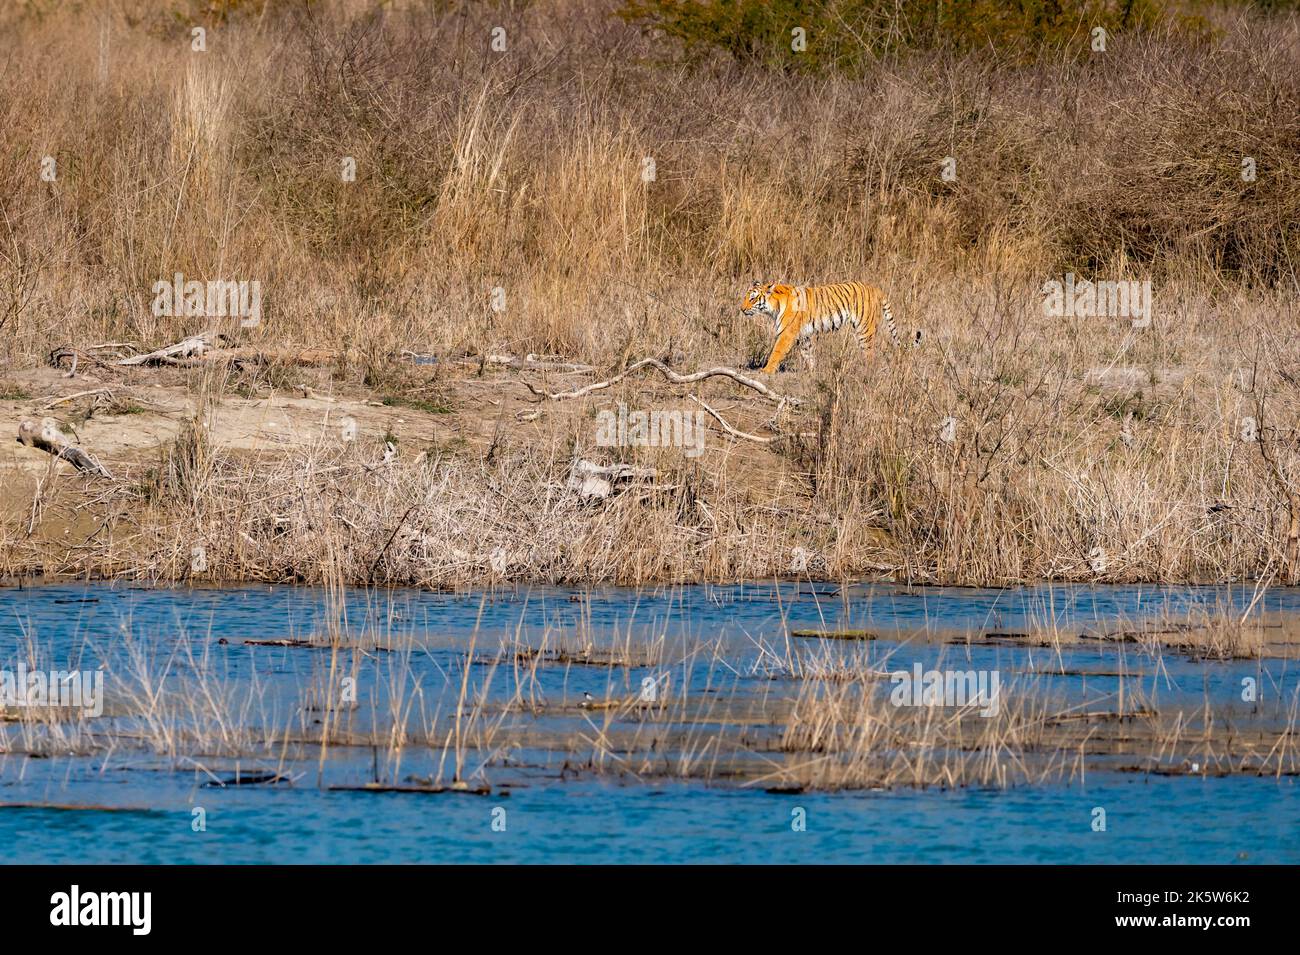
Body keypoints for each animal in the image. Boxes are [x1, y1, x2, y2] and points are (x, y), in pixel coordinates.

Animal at [740, 280, 918, 373]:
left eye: (752, 298)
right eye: (745, 297)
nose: (741, 309)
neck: (773, 307)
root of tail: (874, 288)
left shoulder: (787, 333)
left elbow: (776, 352)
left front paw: (766, 371)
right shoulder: (804, 335)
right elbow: (808, 354)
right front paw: (812, 372)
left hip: (864, 330)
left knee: (870, 354)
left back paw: (866, 373)